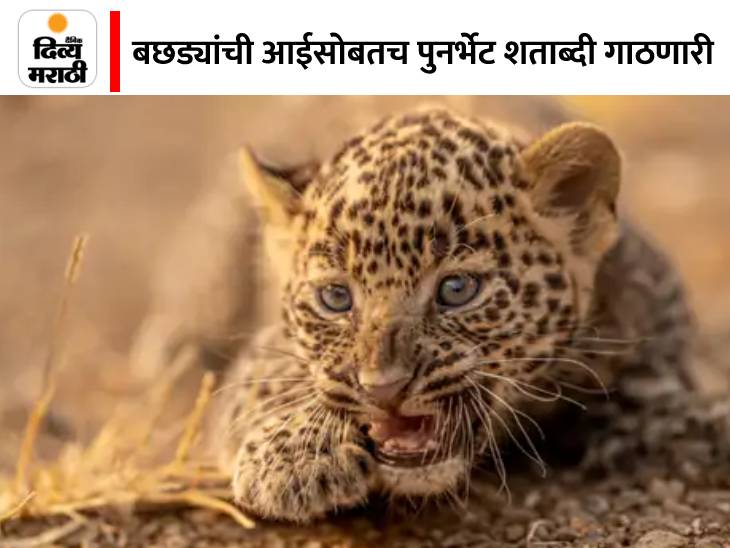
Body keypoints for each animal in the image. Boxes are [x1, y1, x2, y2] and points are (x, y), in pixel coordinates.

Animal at [134, 103, 694, 523]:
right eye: (336, 298)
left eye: (457, 289)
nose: (383, 389)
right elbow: (270, 371)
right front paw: (295, 456)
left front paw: (657, 420)